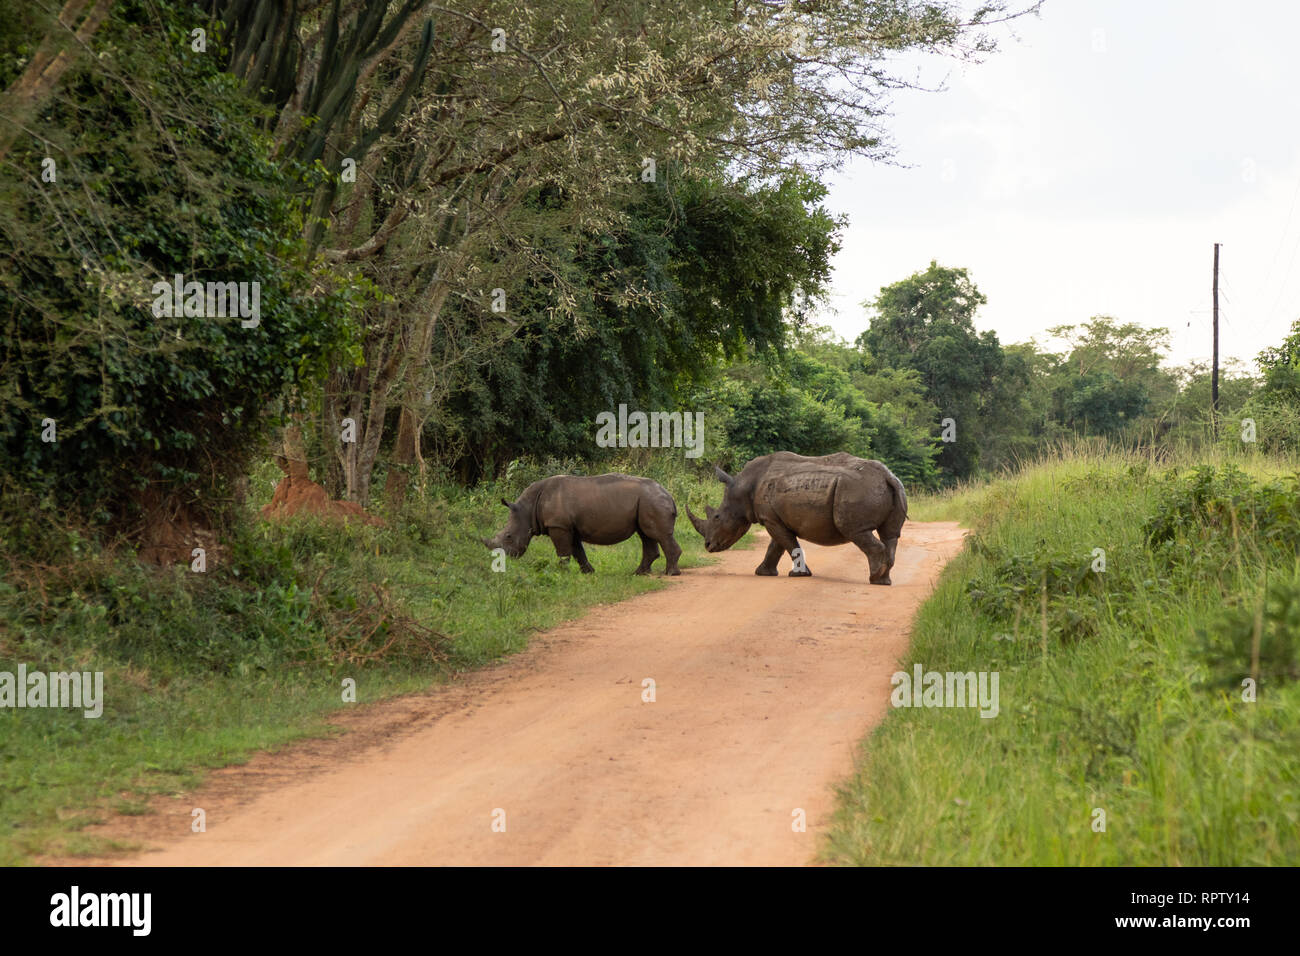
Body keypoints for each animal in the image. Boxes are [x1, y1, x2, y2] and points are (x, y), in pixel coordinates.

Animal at [483, 473, 682, 575]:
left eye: (508, 536)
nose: (504, 560)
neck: (527, 509)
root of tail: (669, 495)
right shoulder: (568, 527)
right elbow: (578, 551)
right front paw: (588, 572)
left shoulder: (558, 526)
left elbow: (564, 552)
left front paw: (561, 574)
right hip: (648, 501)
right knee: (646, 534)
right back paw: (639, 573)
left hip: (652, 500)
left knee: (657, 534)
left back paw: (670, 573)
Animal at [685, 452, 907, 584]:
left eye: (716, 517)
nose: (707, 546)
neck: (742, 486)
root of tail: (887, 477)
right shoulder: (774, 517)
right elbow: (777, 545)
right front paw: (763, 573)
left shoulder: (770, 518)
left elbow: (788, 544)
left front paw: (797, 575)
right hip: (892, 487)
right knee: (890, 535)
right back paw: (883, 581)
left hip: (854, 490)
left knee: (855, 531)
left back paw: (874, 577)